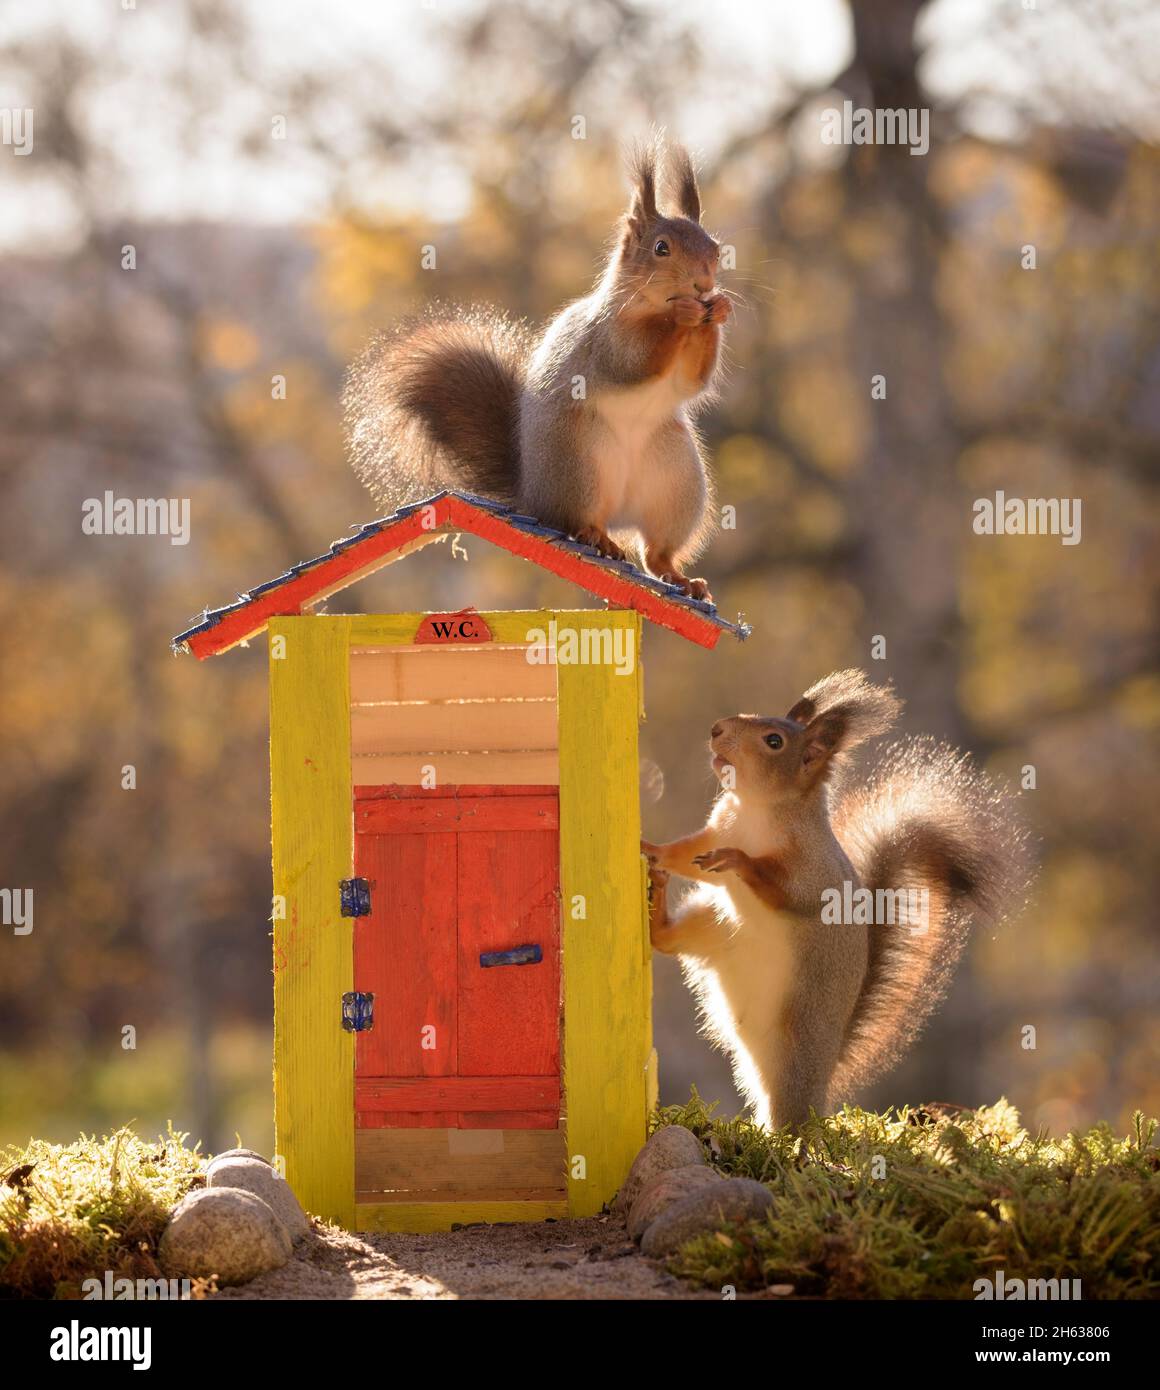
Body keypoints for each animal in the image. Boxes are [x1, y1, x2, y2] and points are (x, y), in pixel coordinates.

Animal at [342, 139, 730, 600]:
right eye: (661, 248)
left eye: (716, 249)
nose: (703, 286)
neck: (647, 306)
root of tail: (532, 496)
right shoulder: (604, 339)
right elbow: (634, 361)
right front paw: (683, 315)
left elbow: (694, 380)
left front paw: (719, 309)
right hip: (579, 464)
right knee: (577, 521)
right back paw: (597, 536)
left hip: (676, 483)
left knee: (657, 553)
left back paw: (680, 578)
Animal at [642, 670, 1031, 1132]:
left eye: (774, 741)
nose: (717, 729)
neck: (756, 810)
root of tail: (829, 1062)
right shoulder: (717, 829)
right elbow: (687, 856)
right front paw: (650, 848)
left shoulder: (810, 875)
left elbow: (779, 890)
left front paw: (736, 860)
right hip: (711, 924)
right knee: (667, 940)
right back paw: (655, 903)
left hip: (797, 1054)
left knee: (792, 1115)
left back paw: (783, 1141)